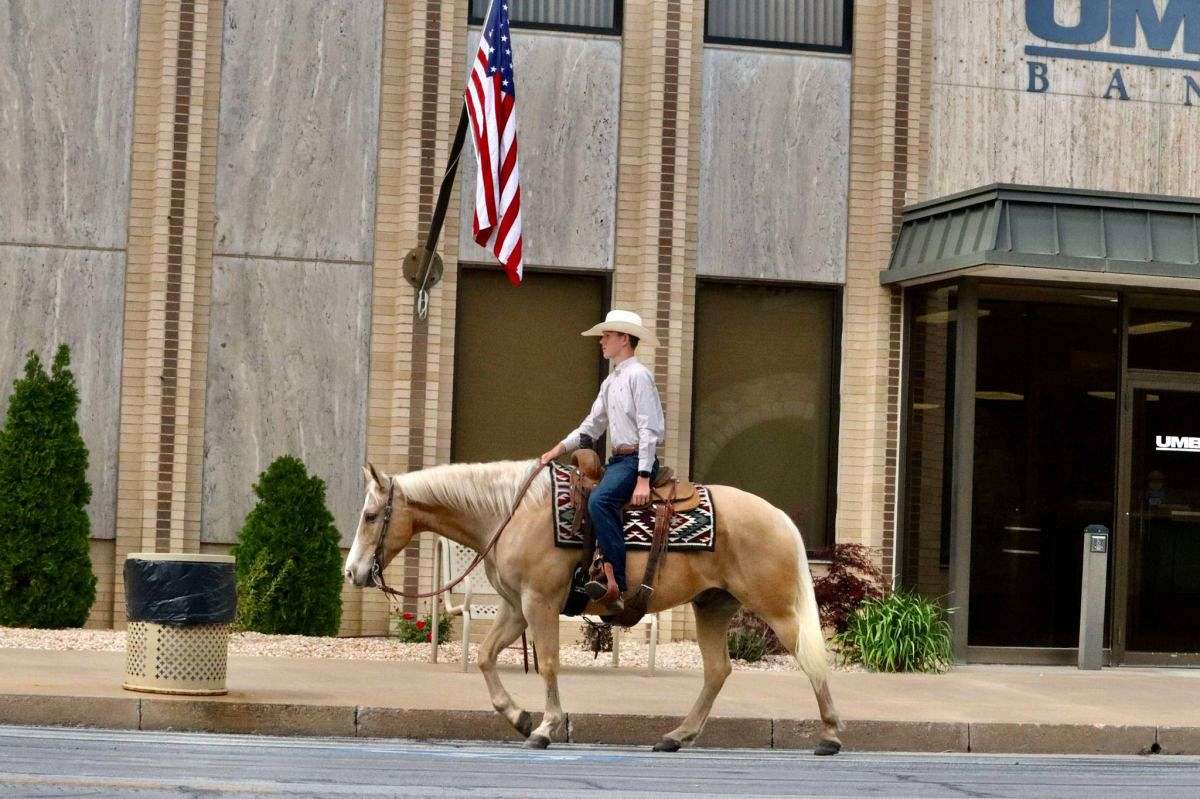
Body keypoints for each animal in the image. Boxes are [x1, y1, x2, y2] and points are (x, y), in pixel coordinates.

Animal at [343, 459, 842, 754]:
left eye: (370, 516)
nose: (352, 572)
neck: (512, 513)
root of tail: (779, 517)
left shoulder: (540, 603)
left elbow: (547, 662)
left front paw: (545, 728)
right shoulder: (516, 607)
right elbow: (485, 656)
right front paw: (519, 717)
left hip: (775, 607)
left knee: (811, 662)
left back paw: (830, 735)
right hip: (712, 607)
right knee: (718, 670)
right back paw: (677, 736)